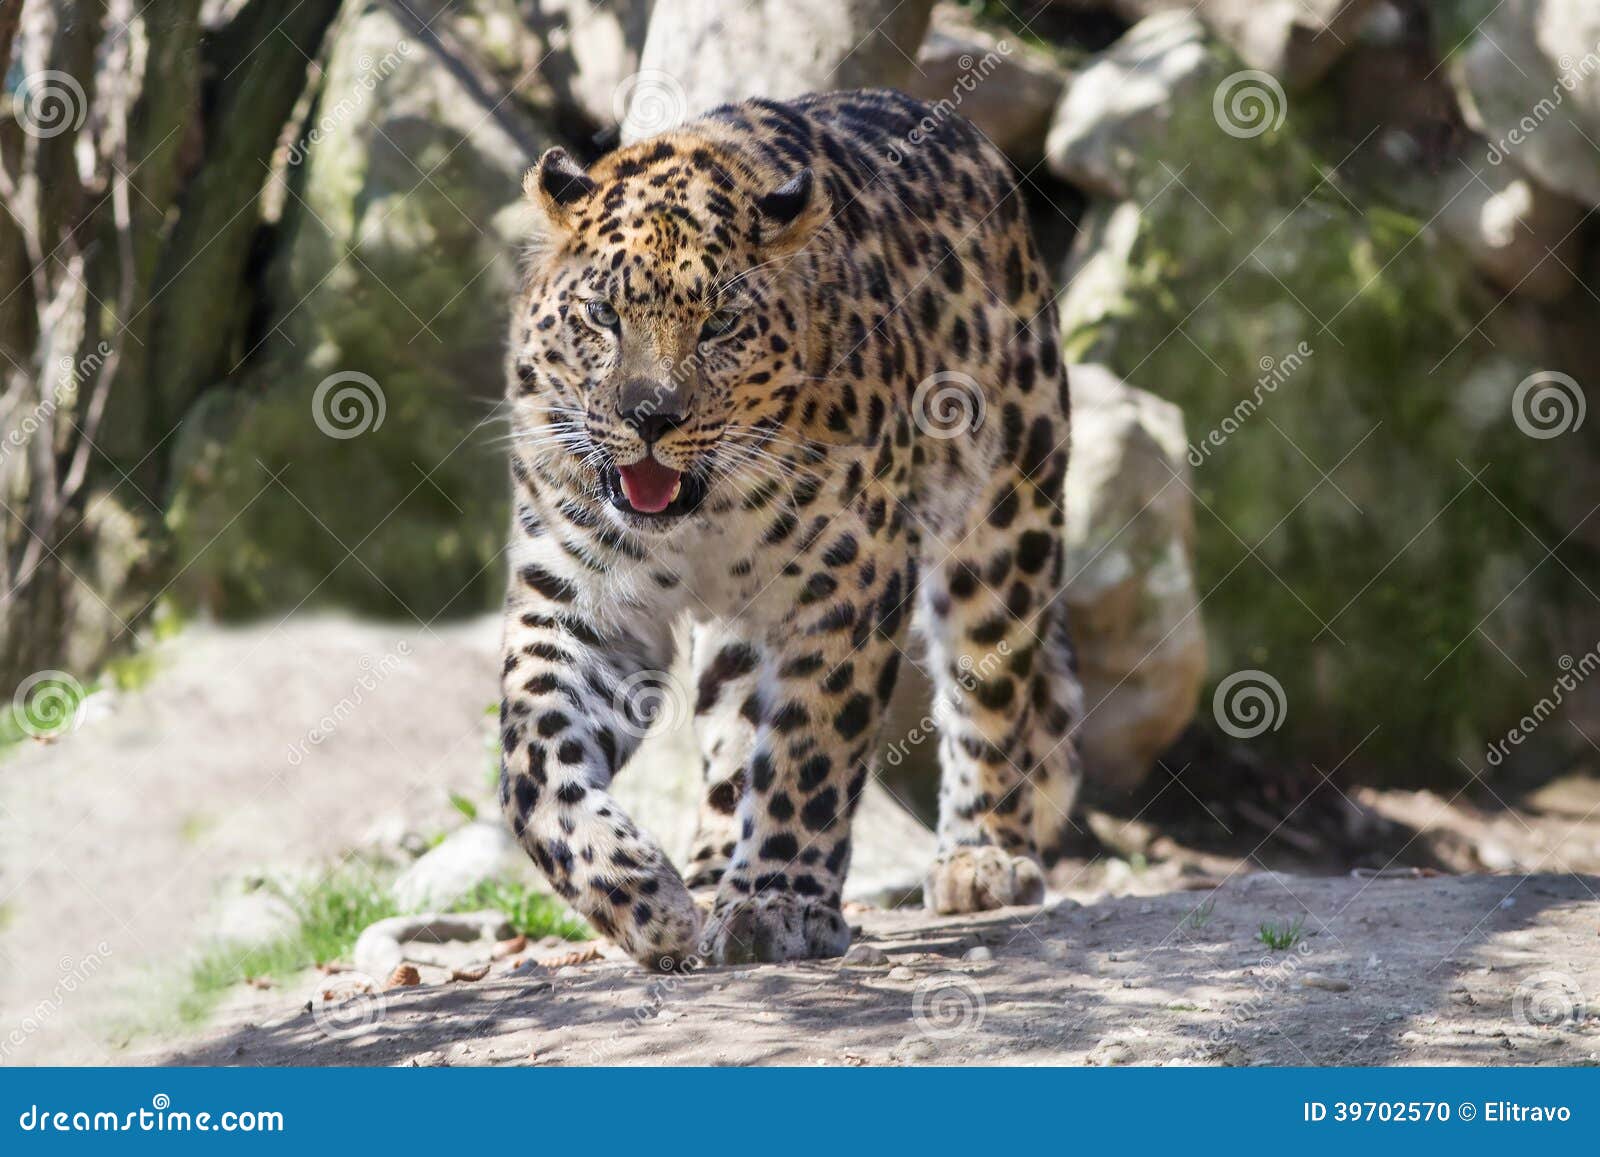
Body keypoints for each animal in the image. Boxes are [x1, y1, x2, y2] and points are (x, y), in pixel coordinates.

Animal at [499, 89, 1083, 970]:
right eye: (601, 315)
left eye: (721, 323)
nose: (650, 417)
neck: (699, 516)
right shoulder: (577, 602)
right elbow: (532, 758)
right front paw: (640, 896)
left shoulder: (849, 577)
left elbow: (811, 746)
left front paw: (779, 900)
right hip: (741, 632)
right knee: (734, 734)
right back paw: (709, 871)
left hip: (1005, 515)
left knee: (992, 687)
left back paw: (982, 855)